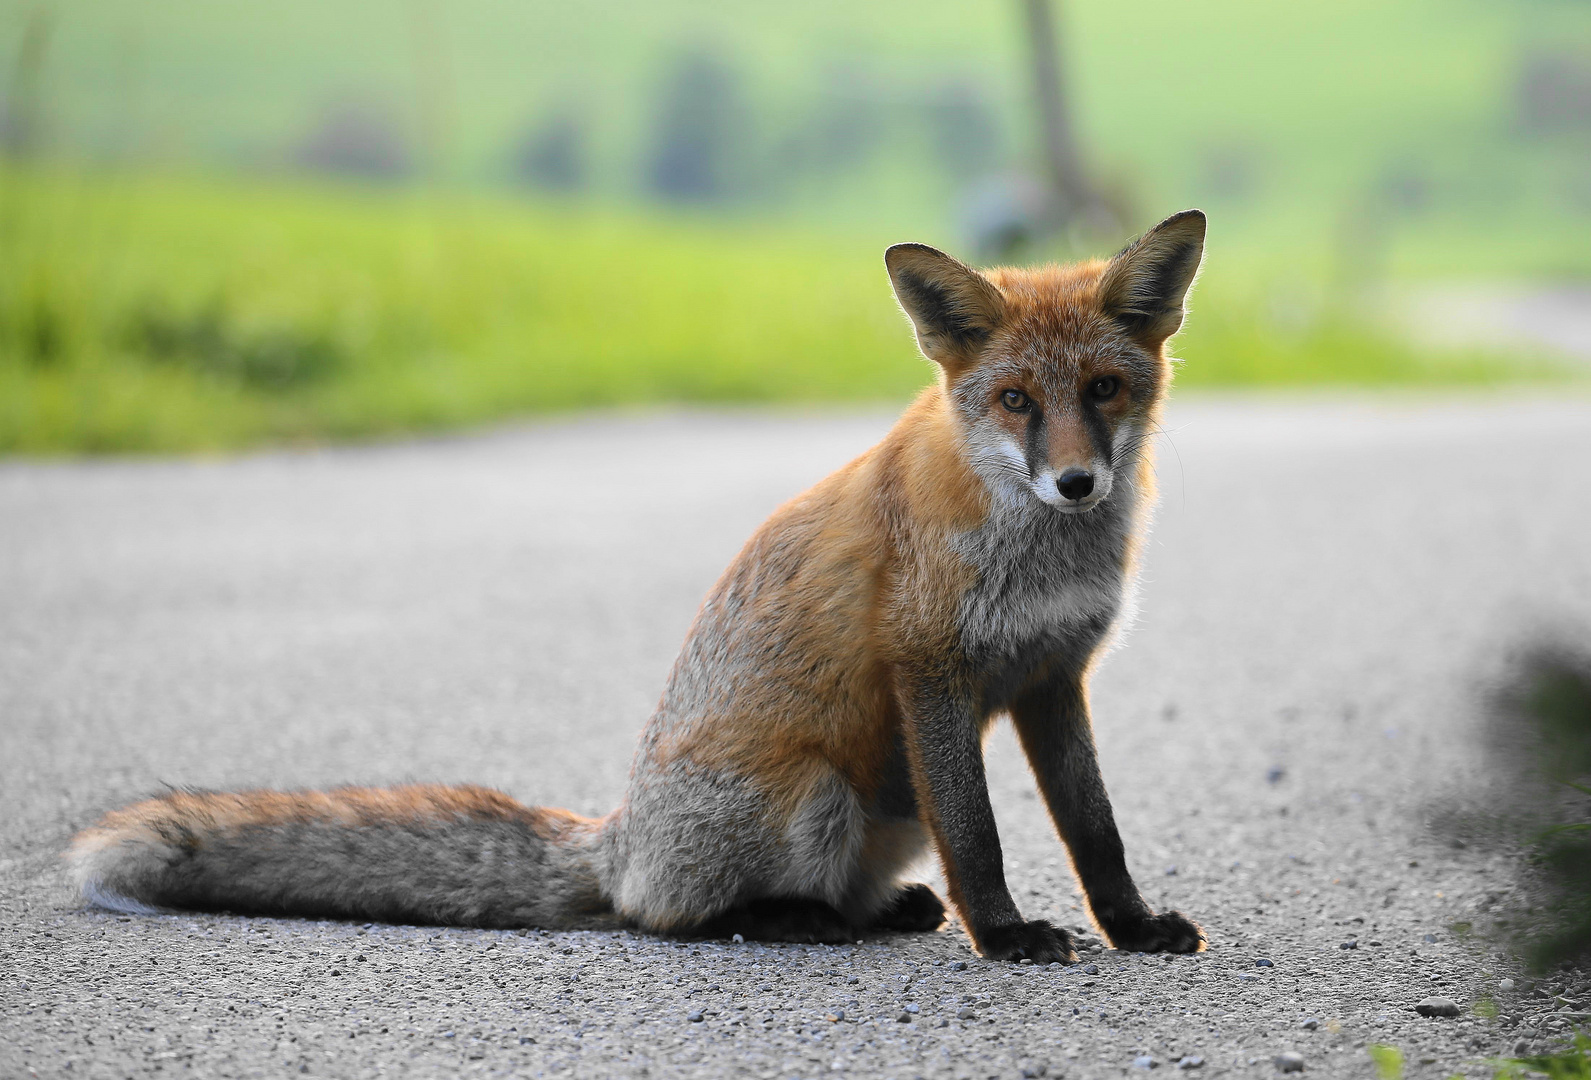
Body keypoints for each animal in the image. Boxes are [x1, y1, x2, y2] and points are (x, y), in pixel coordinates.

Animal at [68, 209, 1209, 964]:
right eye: (1015, 401)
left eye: (1103, 389)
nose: (1076, 483)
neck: (1036, 549)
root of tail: (618, 840)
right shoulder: (931, 671)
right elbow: (980, 836)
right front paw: (1007, 937)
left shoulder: (1053, 676)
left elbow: (1095, 829)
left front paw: (1131, 928)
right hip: (815, 795)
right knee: (665, 916)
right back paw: (791, 919)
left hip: (888, 812)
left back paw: (877, 911)